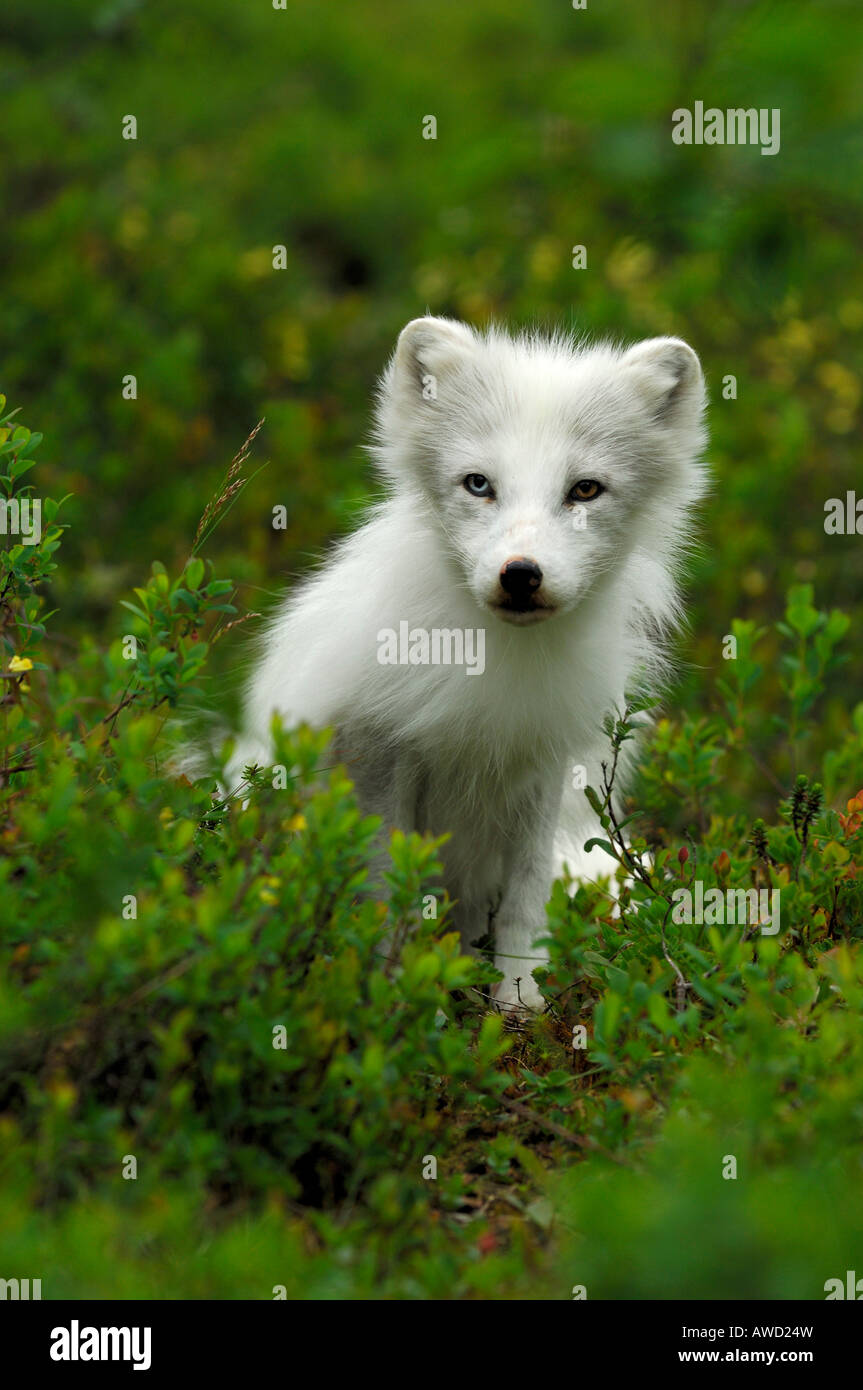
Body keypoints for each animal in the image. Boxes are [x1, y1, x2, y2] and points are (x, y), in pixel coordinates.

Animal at [226, 316, 708, 1009]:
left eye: (585, 489)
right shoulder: (380, 754)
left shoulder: (544, 764)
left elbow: (528, 896)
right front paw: (392, 994)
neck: (494, 661)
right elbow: (388, 886)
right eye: (479, 484)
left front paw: (519, 997)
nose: (521, 574)